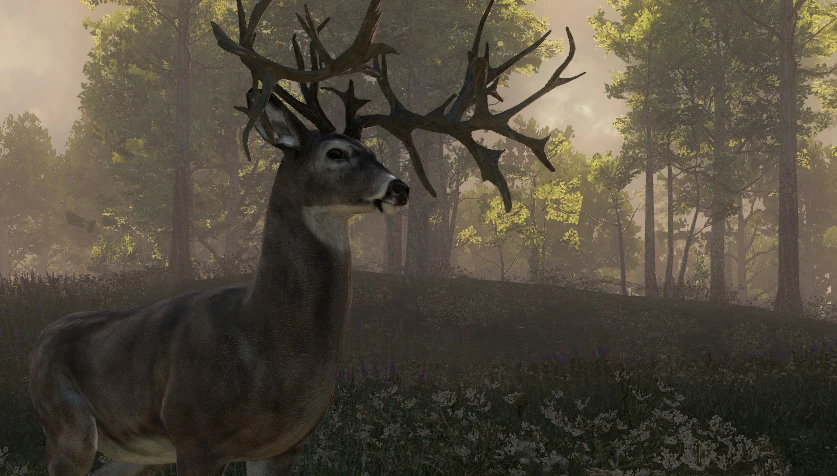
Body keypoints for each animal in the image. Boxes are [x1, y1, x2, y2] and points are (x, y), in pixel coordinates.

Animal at [27, 0, 584, 475]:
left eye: (372, 148)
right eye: (336, 152)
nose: (400, 187)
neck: (266, 347)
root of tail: (41, 337)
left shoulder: (283, 446)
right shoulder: (196, 436)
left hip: (132, 453)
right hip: (65, 426)